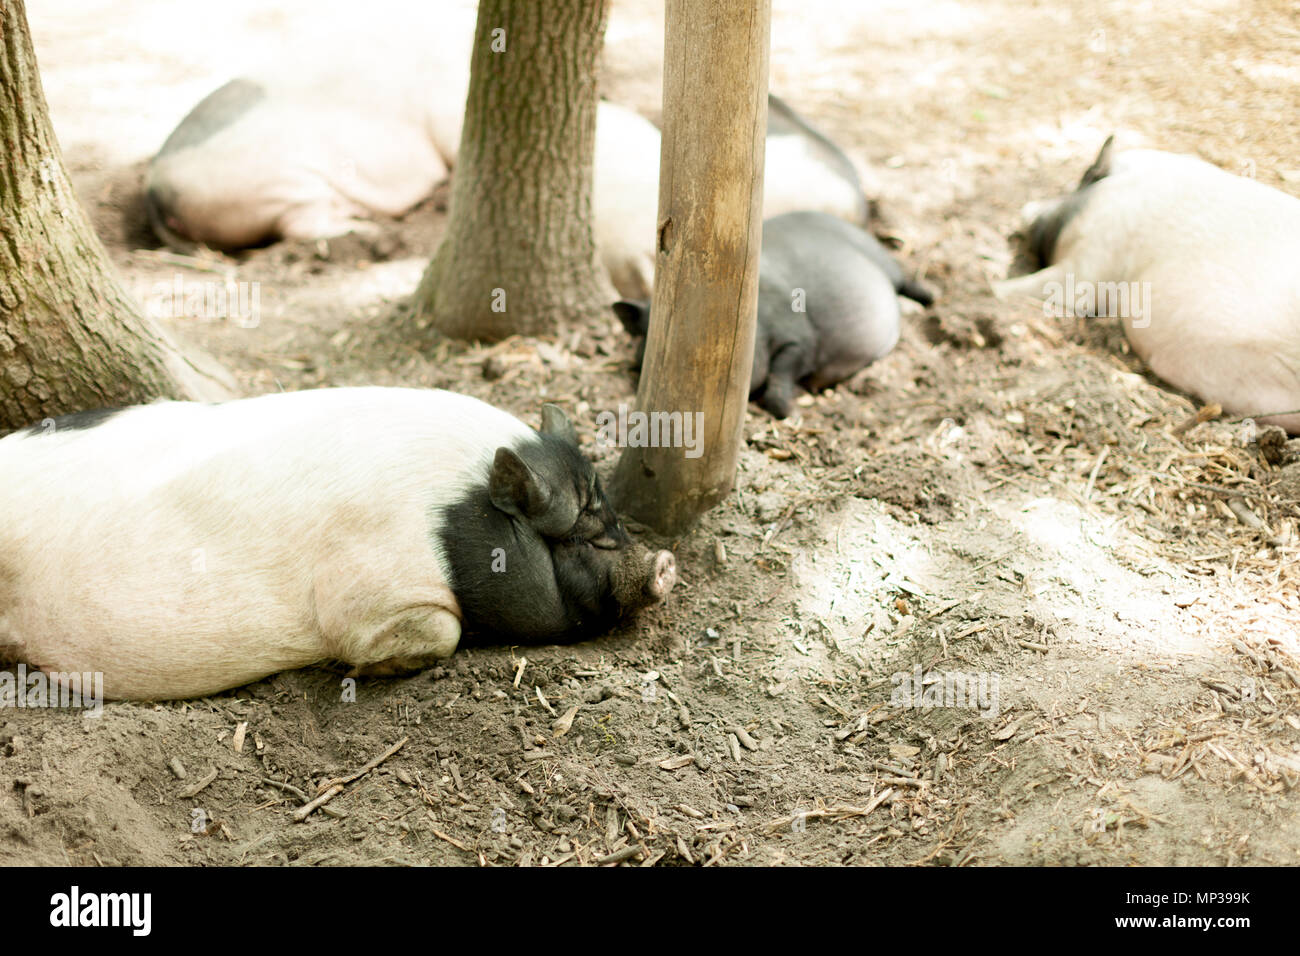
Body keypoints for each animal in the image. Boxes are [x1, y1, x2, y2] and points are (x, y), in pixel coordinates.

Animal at [0, 388, 675, 700]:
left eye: (613, 520)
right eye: (586, 539)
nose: (664, 562)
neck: (454, 523)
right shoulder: (368, 592)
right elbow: (439, 632)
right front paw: (366, 669)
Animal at [614, 210, 934, 419]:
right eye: (646, 336)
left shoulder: (801, 338)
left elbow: (781, 376)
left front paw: (790, 413)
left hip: (882, 259)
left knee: (904, 280)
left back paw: (928, 300)